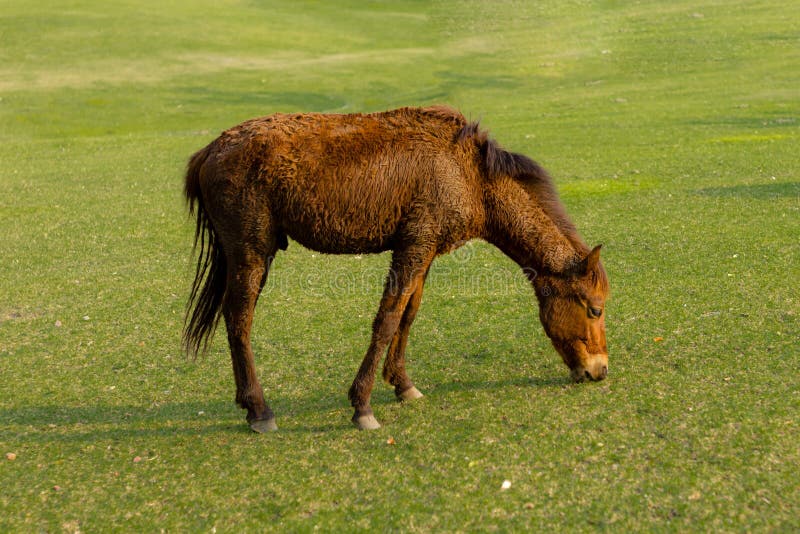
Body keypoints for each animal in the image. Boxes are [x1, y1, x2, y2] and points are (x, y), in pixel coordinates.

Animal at [182, 105, 609, 432]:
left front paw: (403, 385)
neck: (467, 174)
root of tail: (211, 150)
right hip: (251, 253)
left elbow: (408, 315)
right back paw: (259, 410)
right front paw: (362, 406)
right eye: (595, 309)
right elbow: (387, 319)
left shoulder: (425, 250)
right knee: (239, 319)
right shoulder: (414, 245)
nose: (600, 370)